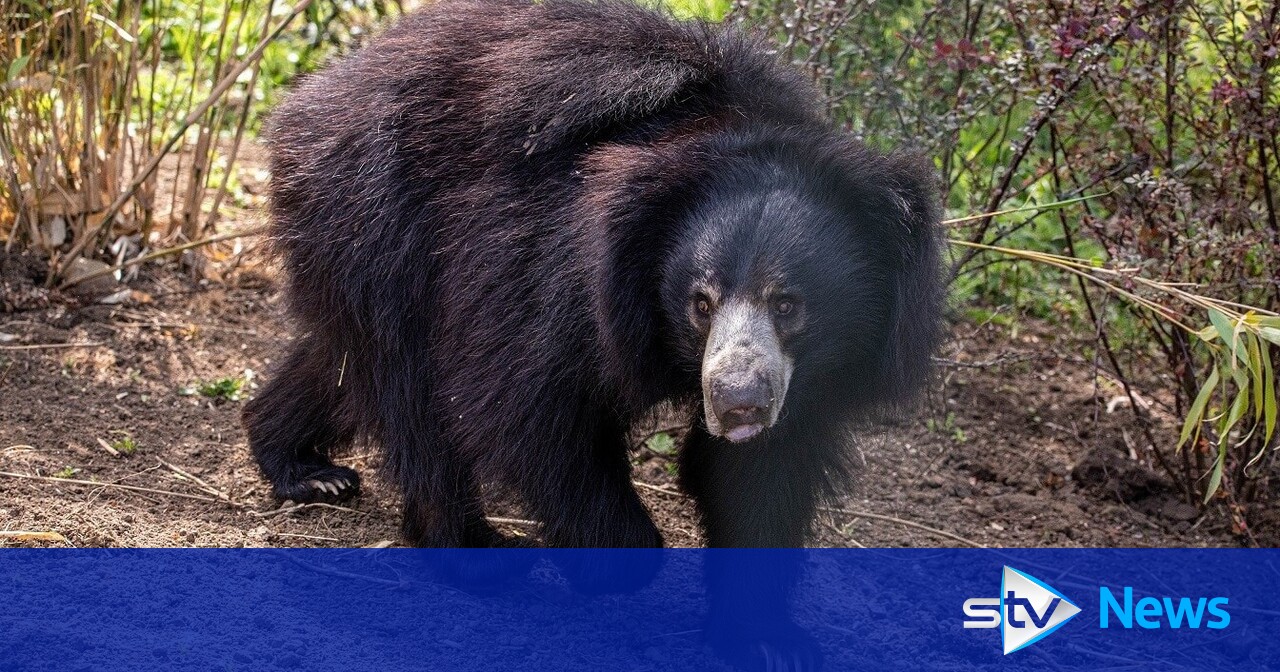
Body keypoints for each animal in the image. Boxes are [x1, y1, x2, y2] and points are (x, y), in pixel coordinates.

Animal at [243, 0, 942, 667]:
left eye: (788, 303)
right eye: (701, 302)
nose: (737, 400)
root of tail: (317, 94)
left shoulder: (813, 375)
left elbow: (763, 475)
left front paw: (766, 640)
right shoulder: (565, 276)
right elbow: (527, 401)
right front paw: (616, 559)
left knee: (342, 362)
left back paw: (302, 466)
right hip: (377, 216)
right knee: (412, 390)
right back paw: (475, 548)